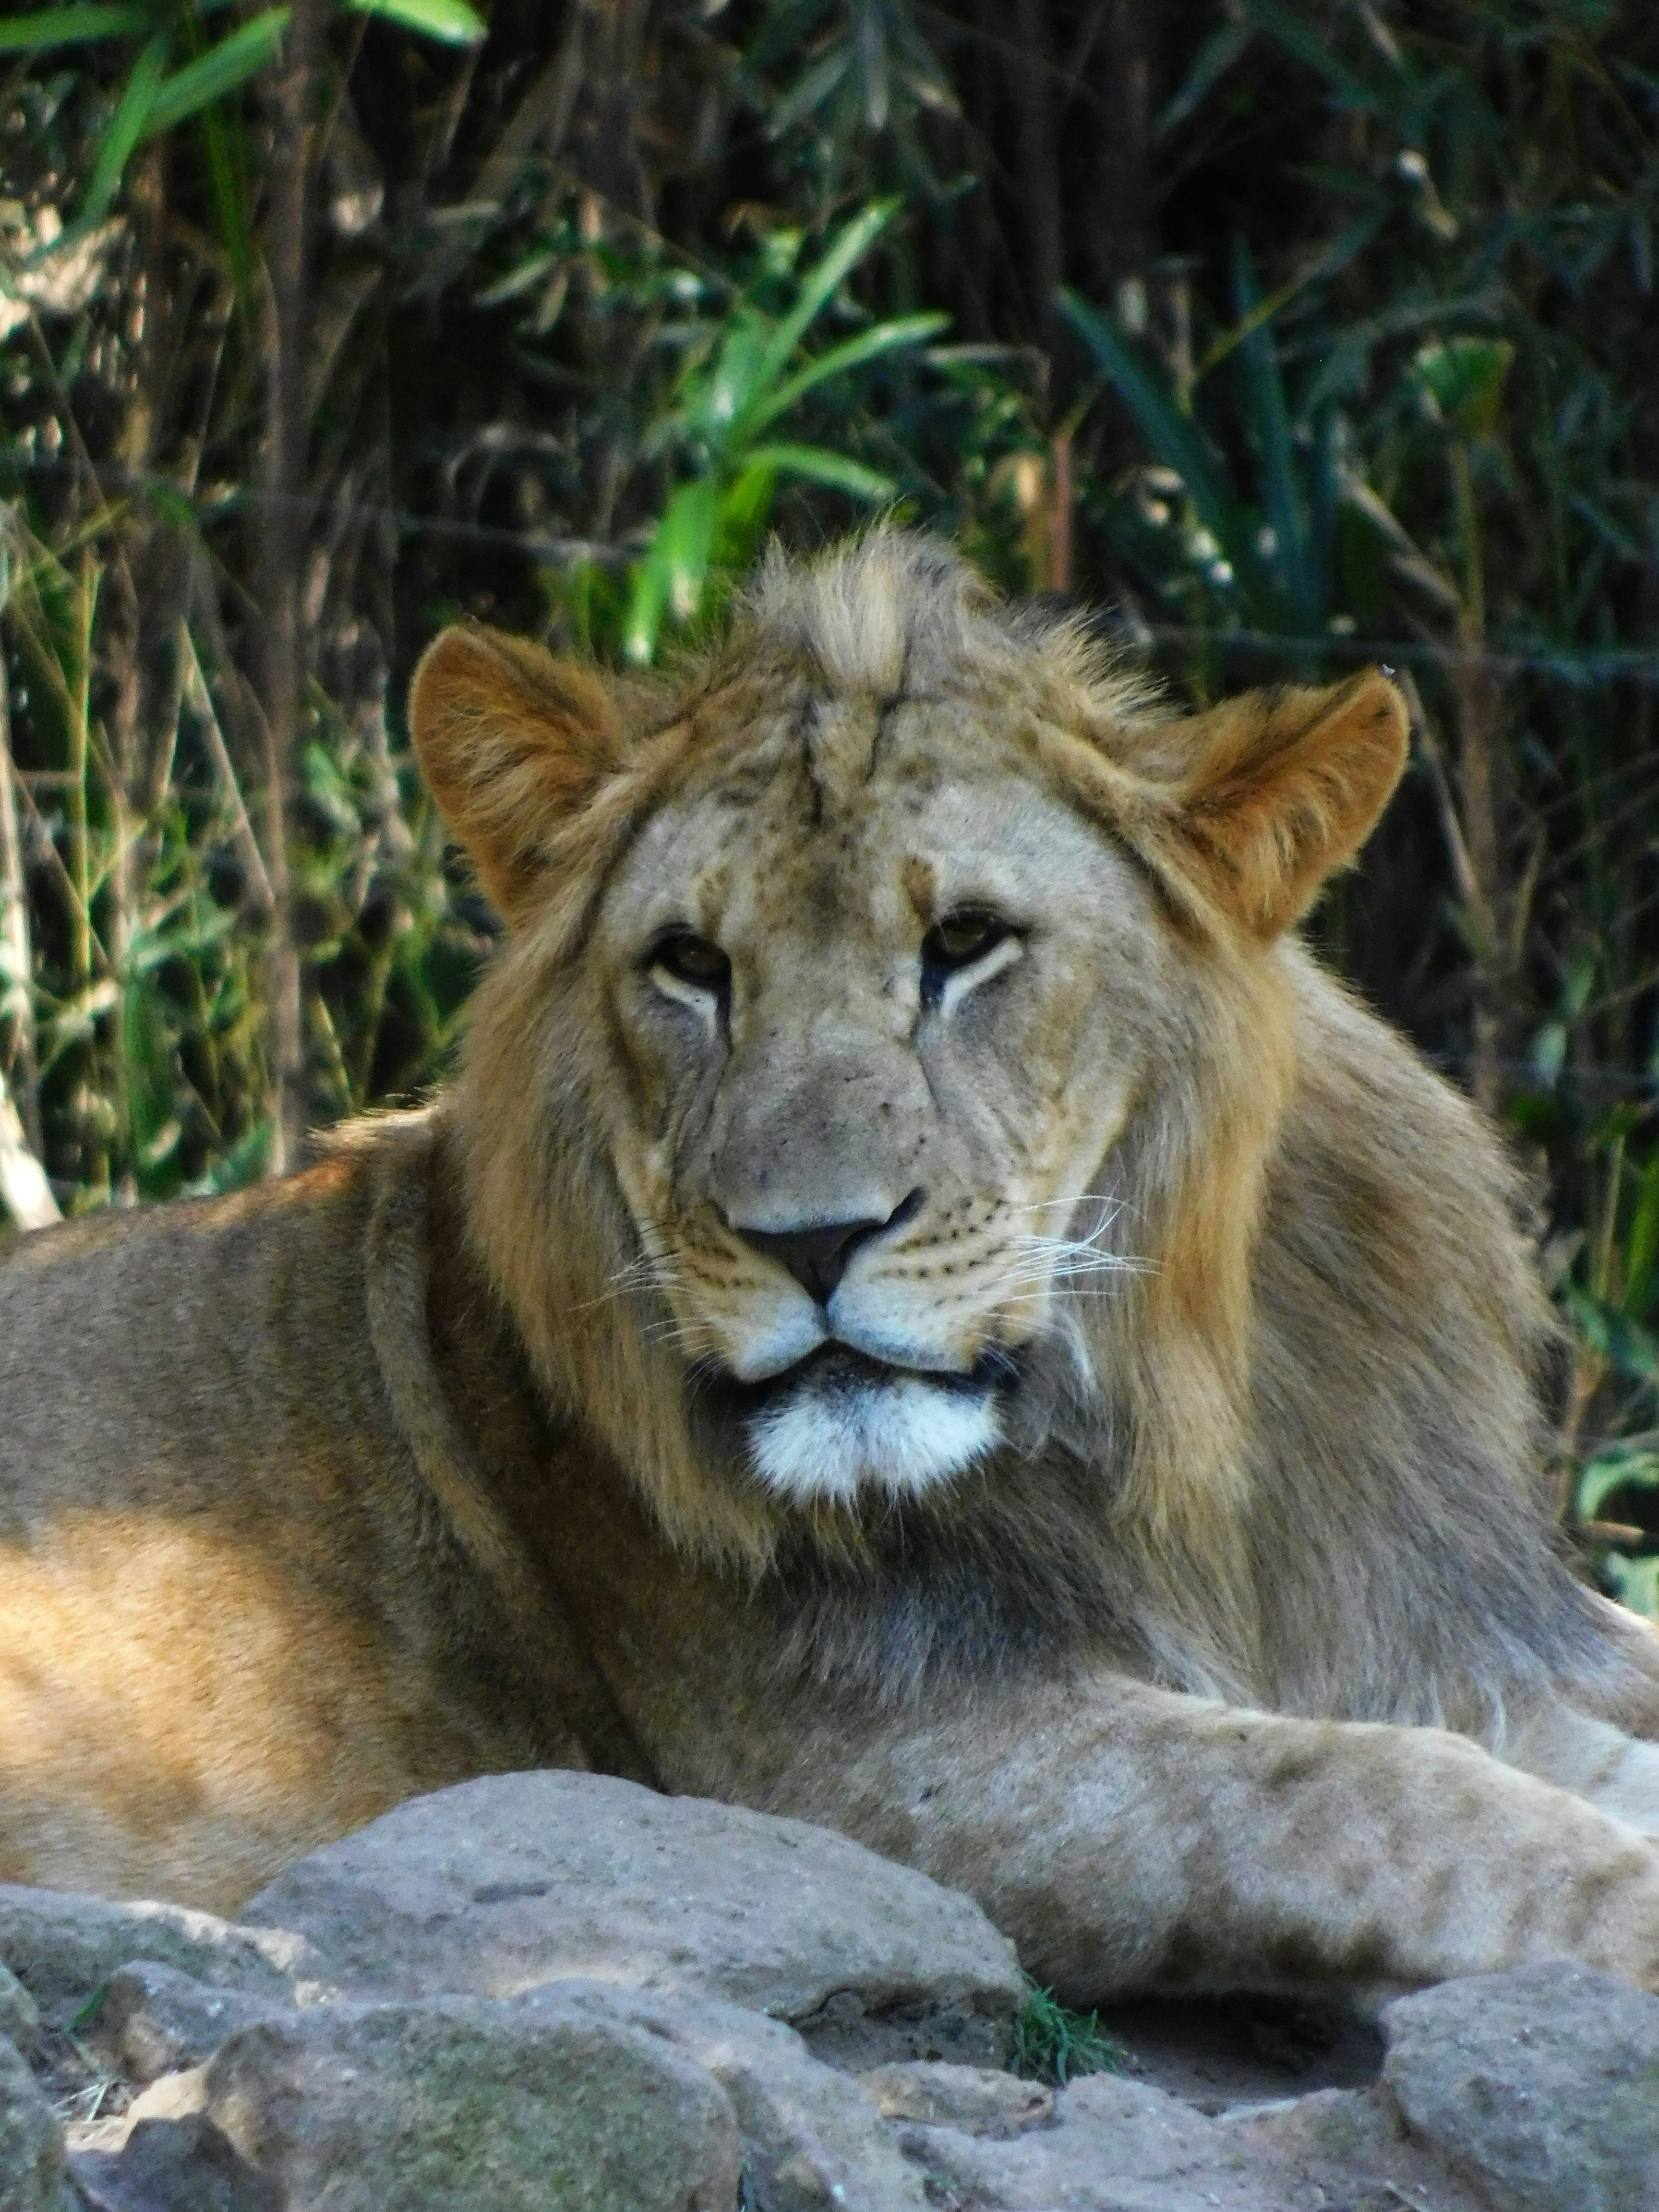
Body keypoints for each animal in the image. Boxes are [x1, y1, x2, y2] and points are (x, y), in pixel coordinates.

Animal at [7, 529, 1659, 2011]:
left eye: (968, 943)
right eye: (689, 964)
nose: (808, 1239)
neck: (1177, 1434)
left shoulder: (1455, 1632)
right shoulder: (862, 1778)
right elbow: (1373, 1794)